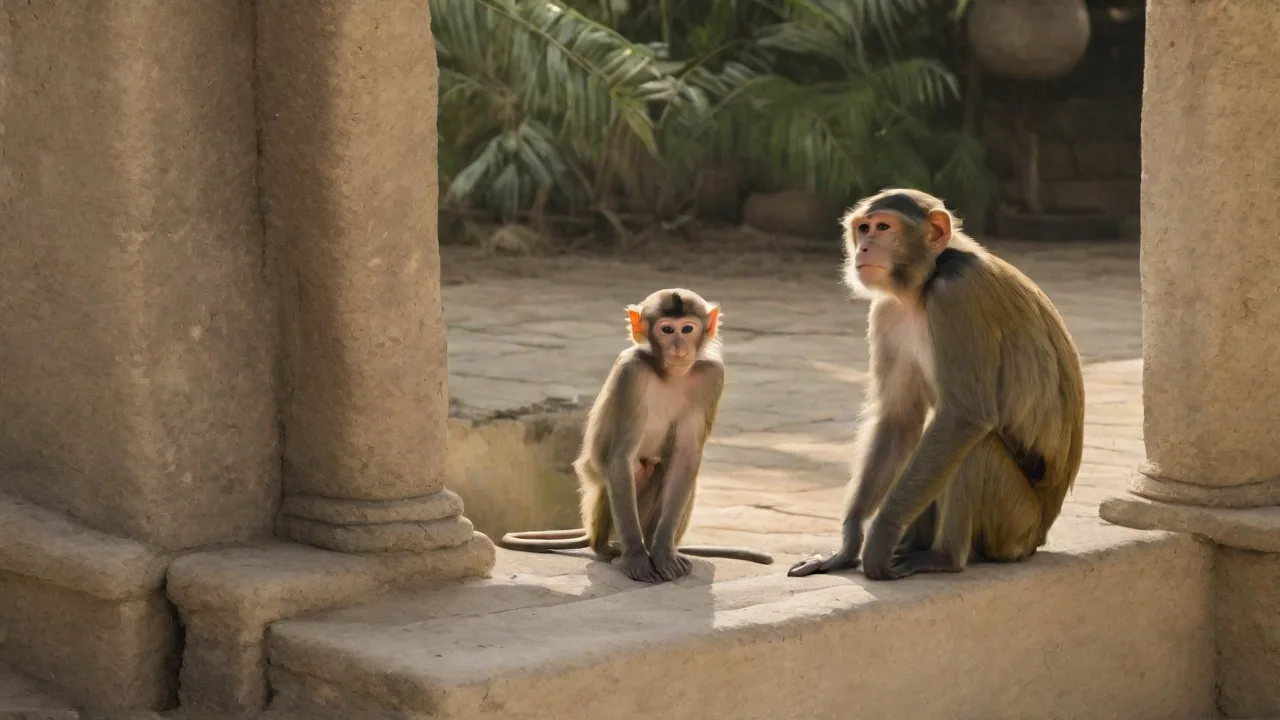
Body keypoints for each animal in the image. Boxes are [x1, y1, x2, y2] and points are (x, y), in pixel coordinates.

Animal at [500, 289, 775, 582]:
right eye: (667, 330)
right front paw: (636, 557)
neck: (669, 374)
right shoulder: (631, 374)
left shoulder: (712, 375)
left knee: (669, 469)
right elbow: (620, 457)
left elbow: (686, 457)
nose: (679, 348)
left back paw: (660, 547)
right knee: (634, 468)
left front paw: (664, 553)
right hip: (600, 518)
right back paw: (613, 548)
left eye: (687, 329)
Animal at [787, 189, 1085, 582]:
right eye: (863, 228)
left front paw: (879, 540)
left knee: (976, 444)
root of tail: (1041, 534)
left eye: (883, 228)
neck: (928, 279)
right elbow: (899, 420)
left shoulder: (956, 293)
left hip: (1016, 524)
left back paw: (944, 557)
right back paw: (916, 544)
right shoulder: (887, 312)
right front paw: (850, 544)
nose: (864, 248)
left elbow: (964, 418)